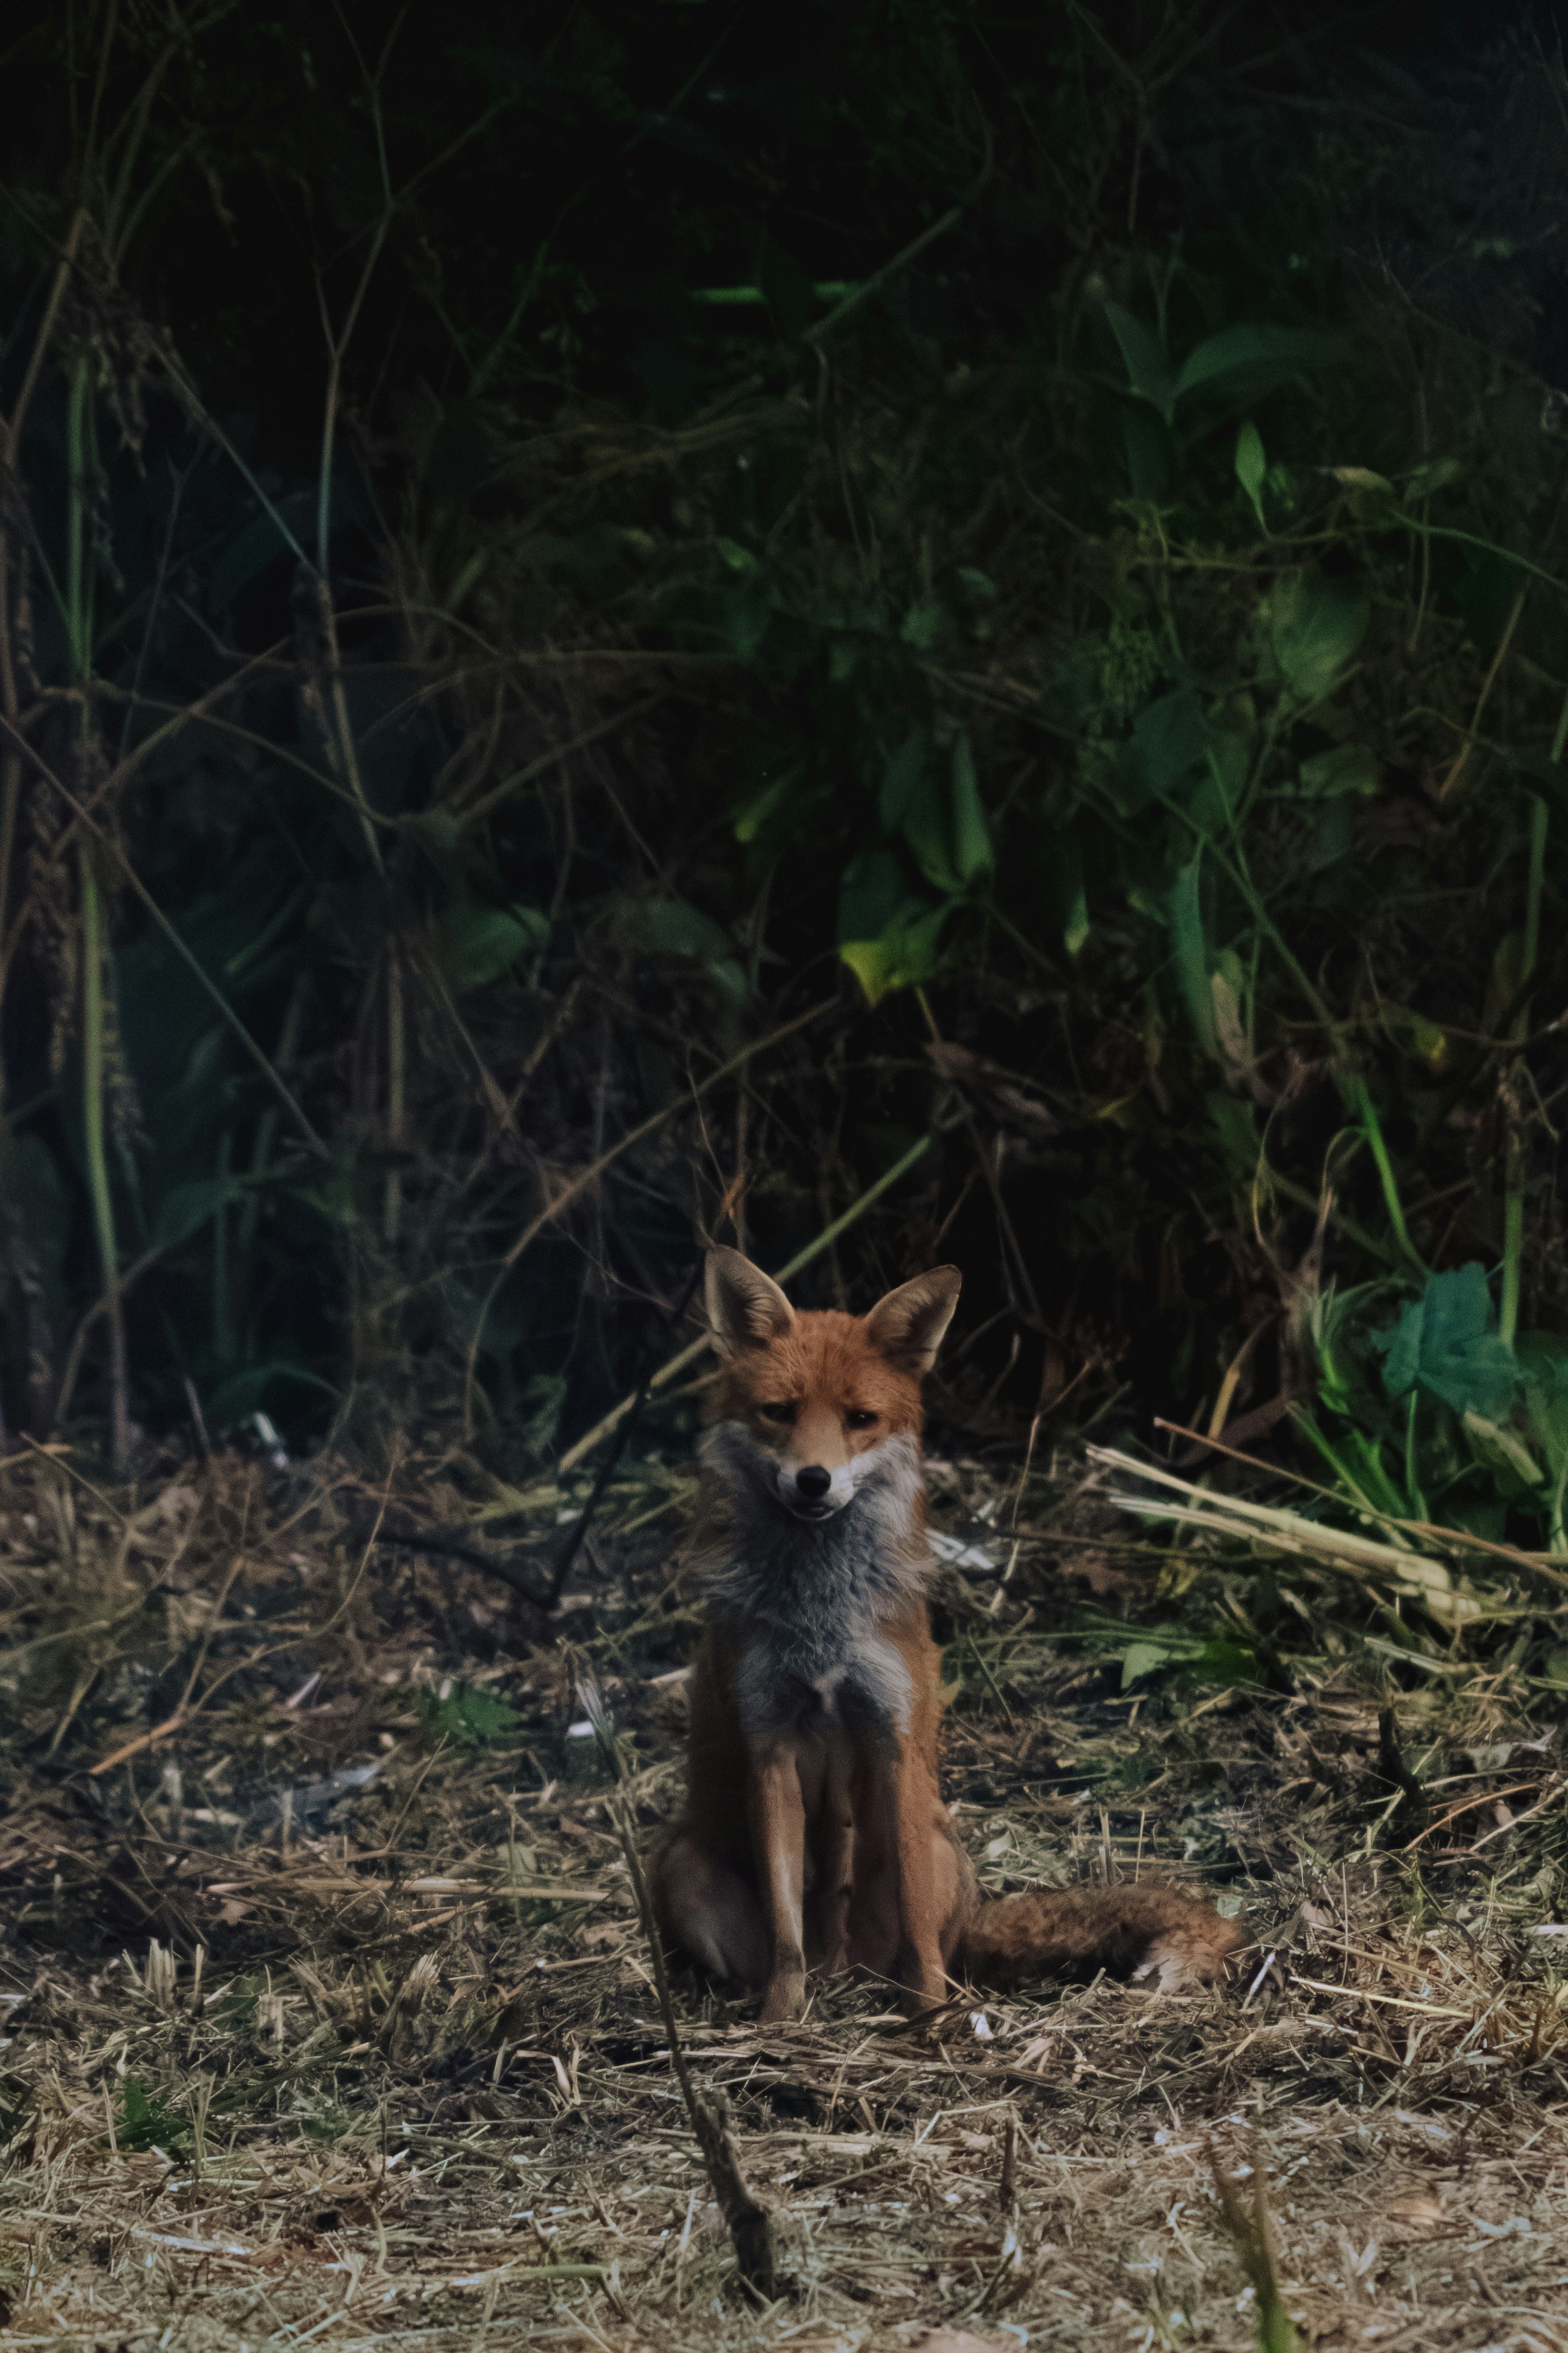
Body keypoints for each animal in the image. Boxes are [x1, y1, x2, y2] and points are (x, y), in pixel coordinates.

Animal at [650, 1248, 1243, 2024]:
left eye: (860, 1419)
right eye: (777, 1412)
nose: (814, 1481)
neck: (821, 1624)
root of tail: (848, 1967)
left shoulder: (893, 1738)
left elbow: (915, 1924)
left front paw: (930, 2018)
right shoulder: (769, 1744)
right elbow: (785, 1936)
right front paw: (781, 2023)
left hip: (937, 1847)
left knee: (934, 1943)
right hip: (680, 1867)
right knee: (775, 1951)